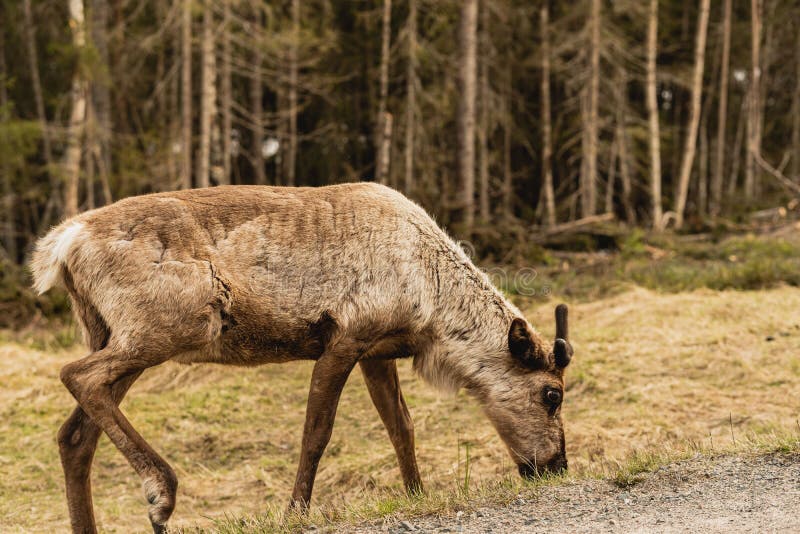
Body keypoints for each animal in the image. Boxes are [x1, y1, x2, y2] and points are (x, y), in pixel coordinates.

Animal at [31, 183, 574, 533]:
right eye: (552, 394)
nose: (557, 465)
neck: (432, 302)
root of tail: (63, 244)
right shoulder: (345, 338)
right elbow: (317, 432)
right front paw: (295, 511)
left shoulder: (378, 351)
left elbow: (401, 425)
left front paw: (417, 494)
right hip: (171, 324)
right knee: (77, 375)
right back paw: (161, 495)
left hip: (112, 334)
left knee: (75, 435)